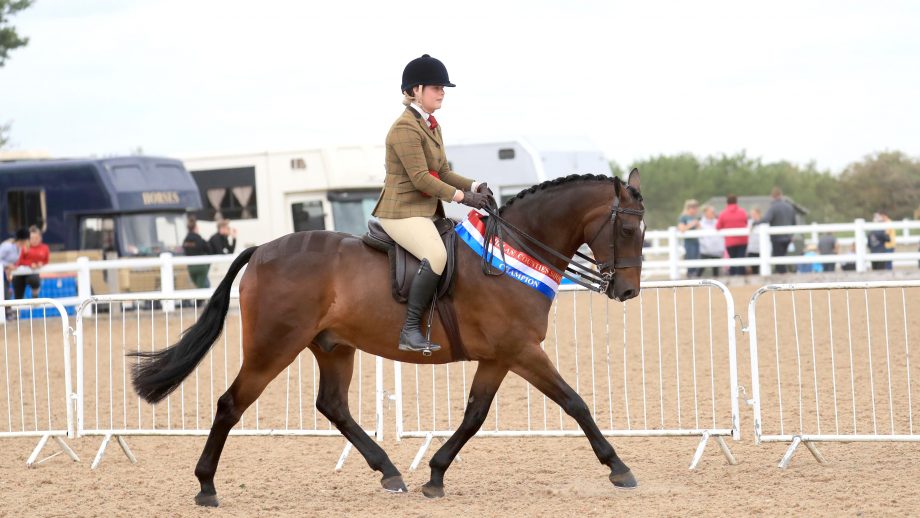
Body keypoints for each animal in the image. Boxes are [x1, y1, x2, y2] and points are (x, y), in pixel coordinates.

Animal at [130, 169, 646, 506]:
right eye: (626, 227)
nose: (627, 291)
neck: (513, 252)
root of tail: (261, 251)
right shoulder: (522, 351)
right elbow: (574, 403)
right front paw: (619, 468)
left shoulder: (499, 358)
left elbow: (475, 416)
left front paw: (435, 475)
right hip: (272, 348)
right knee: (230, 404)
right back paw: (206, 486)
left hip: (333, 347)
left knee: (333, 405)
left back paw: (390, 472)